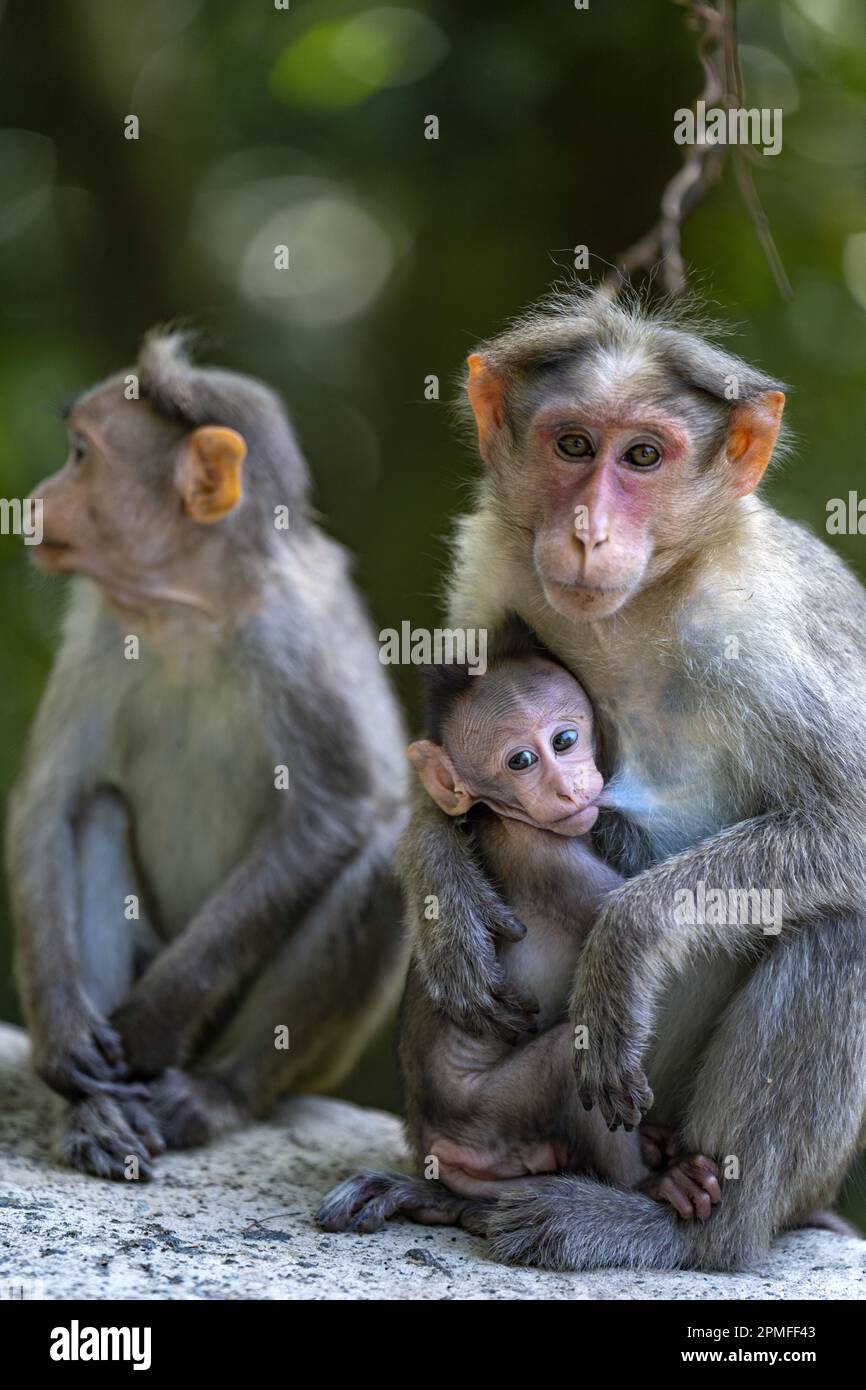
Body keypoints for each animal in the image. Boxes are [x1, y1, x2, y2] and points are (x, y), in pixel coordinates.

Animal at [6, 329, 409, 1180]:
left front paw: (153, 1023)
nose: (36, 495)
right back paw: (97, 1114)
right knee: (96, 812)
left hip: (312, 1056)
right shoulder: (101, 626)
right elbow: (50, 802)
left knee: (388, 849)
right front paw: (64, 1042)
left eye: (80, 455)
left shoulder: (291, 639)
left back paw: (216, 1090)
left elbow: (340, 811)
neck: (187, 608)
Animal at [317, 622, 722, 1235]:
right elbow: (631, 912)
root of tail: (434, 1147)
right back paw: (650, 1181)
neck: (508, 816)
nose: (567, 788)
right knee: (564, 1061)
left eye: (565, 740)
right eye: (522, 760)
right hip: (492, 1119)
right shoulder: (547, 858)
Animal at [396, 285, 866, 1270]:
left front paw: (628, 936)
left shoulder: (757, 631)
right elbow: (438, 766)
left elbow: (850, 824)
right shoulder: (493, 567)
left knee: (843, 926)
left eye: (643, 456)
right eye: (574, 445)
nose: (588, 530)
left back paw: (691, 1227)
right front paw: (440, 879)